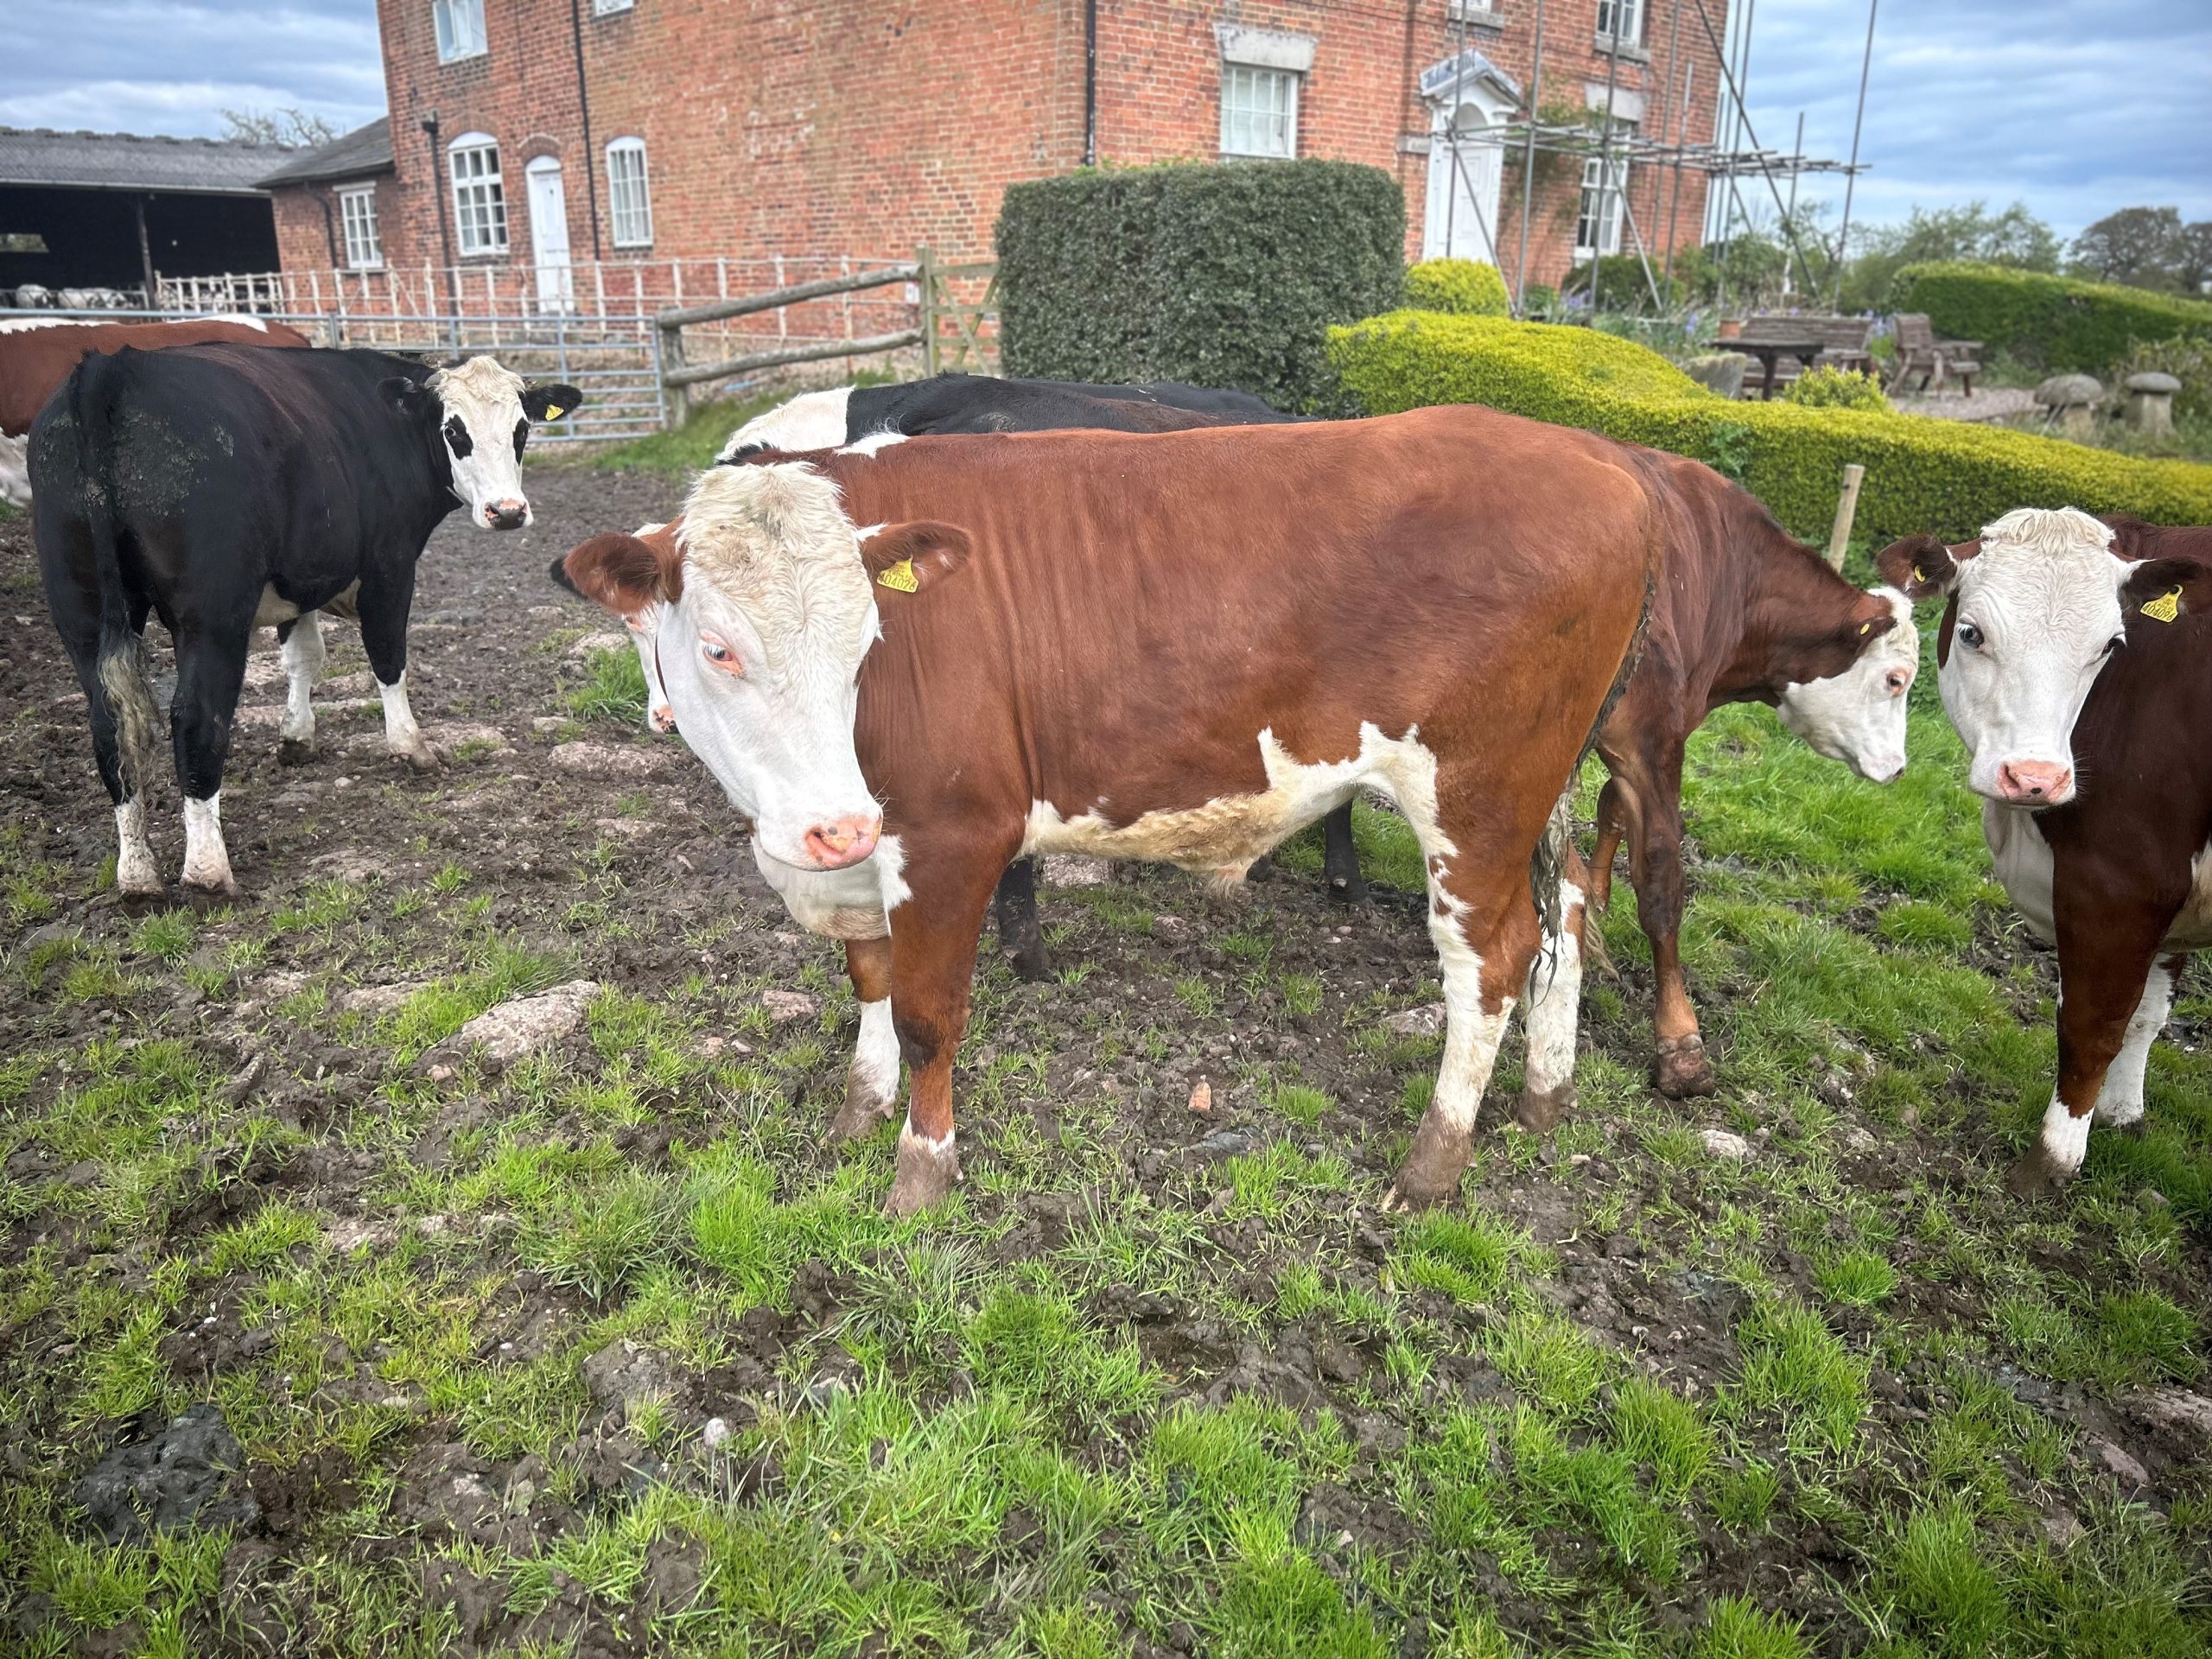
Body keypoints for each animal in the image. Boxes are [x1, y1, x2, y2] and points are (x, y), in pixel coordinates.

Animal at [32, 345, 581, 896]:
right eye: (454, 430)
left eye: (521, 428)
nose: (507, 512)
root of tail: (110, 367)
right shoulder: (390, 565)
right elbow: (388, 657)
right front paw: (411, 747)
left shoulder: (303, 580)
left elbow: (303, 657)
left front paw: (297, 737)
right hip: (213, 616)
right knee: (195, 718)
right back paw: (207, 871)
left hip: (82, 614)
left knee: (110, 724)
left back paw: (138, 872)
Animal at [560, 406, 1666, 1213]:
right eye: (717, 648)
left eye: (868, 638)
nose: (836, 824)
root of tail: (1594, 455)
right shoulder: (860, 857)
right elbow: (868, 979)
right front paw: (858, 1112)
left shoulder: (952, 833)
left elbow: (924, 1013)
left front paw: (921, 1172)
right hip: (1539, 790)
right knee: (1568, 909)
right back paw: (1545, 1095)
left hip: (1478, 793)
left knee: (1491, 955)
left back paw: (1431, 1165)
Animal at [1876, 508, 2211, 1197]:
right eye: (1971, 633)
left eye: (2109, 646)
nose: (2035, 778)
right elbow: (2148, 1014)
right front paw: (2122, 1117)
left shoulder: (2126, 881)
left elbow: (2094, 1025)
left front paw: (2051, 1160)